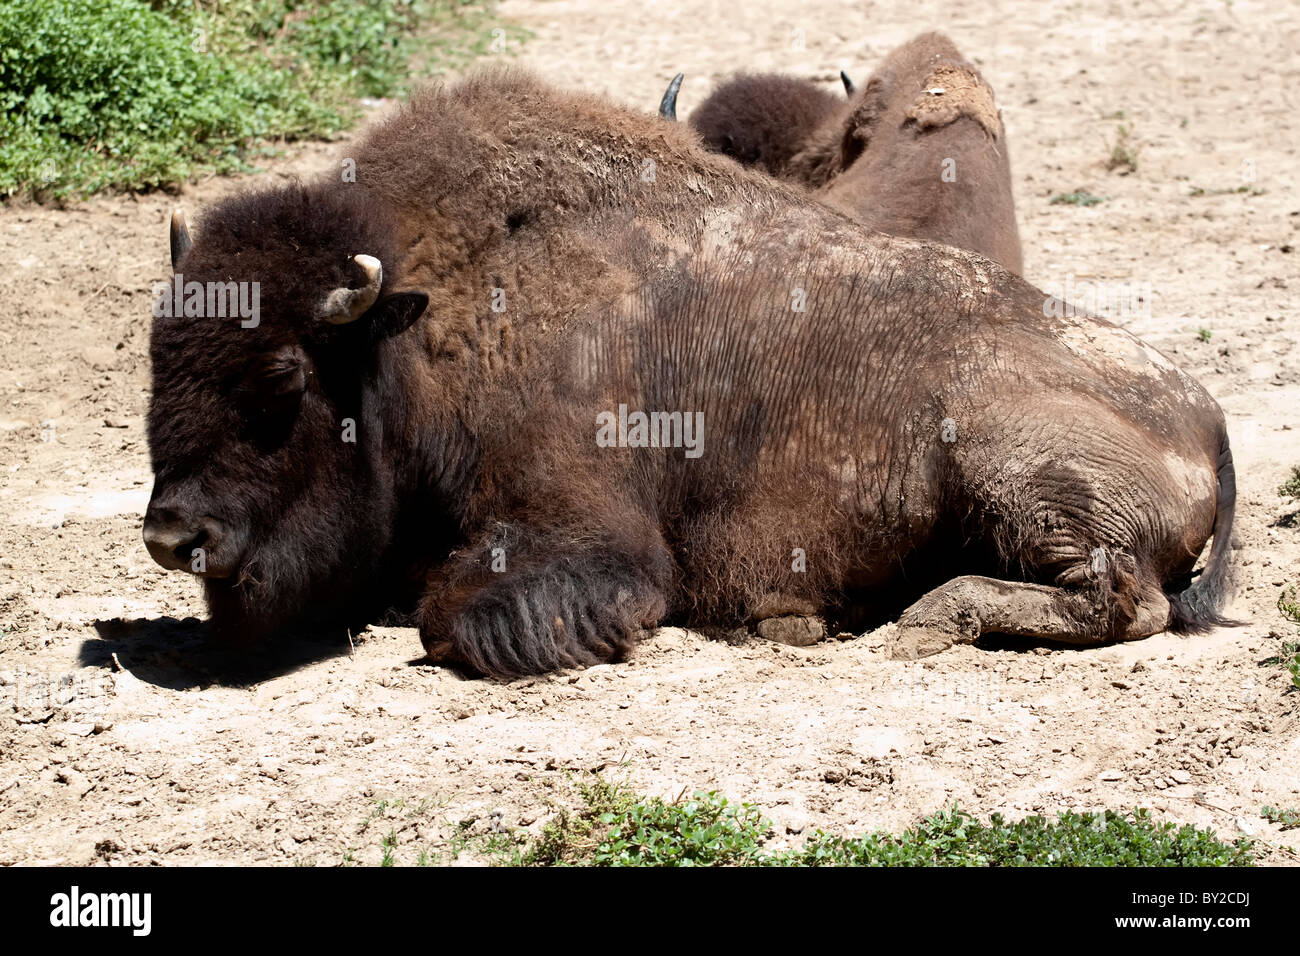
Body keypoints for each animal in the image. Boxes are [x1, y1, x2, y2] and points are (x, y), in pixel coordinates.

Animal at [144, 69, 1234, 677]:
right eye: (155, 361)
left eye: (285, 381)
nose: (172, 536)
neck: (421, 323)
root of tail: (1204, 409)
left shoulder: (588, 532)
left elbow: (449, 617)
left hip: (1009, 465)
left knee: (1121, 595)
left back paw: (917, 618)